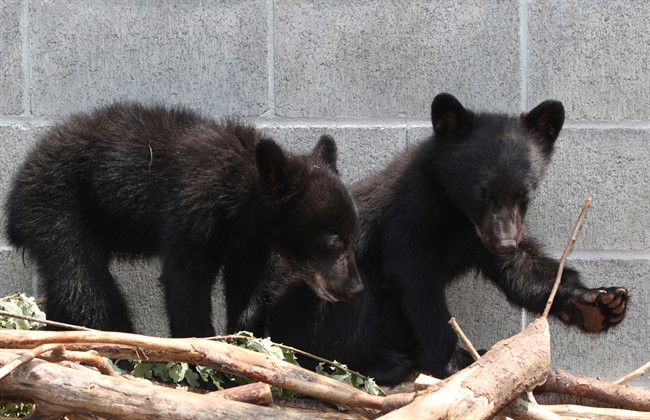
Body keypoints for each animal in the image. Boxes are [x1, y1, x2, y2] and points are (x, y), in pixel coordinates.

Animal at [5, 102, 362, 337]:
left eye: (353, 238)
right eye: (331, 241)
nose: (354, 287)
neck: (237, 196)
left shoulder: (250, 241)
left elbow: (249, 287)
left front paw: (246, 341)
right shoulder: (192, 211)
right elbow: (186, 281)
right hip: (56, 204)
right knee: (81, 278)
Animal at [245, 93, 629, 385]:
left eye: (523, 193)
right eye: (482, 193)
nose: (505, 242)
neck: (459, 214)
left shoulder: (488, 232)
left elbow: (523, 270)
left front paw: (599, 304)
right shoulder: (410, 213)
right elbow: (416, 283)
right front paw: (456, 360)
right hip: (316, 297)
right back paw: (385, 364)